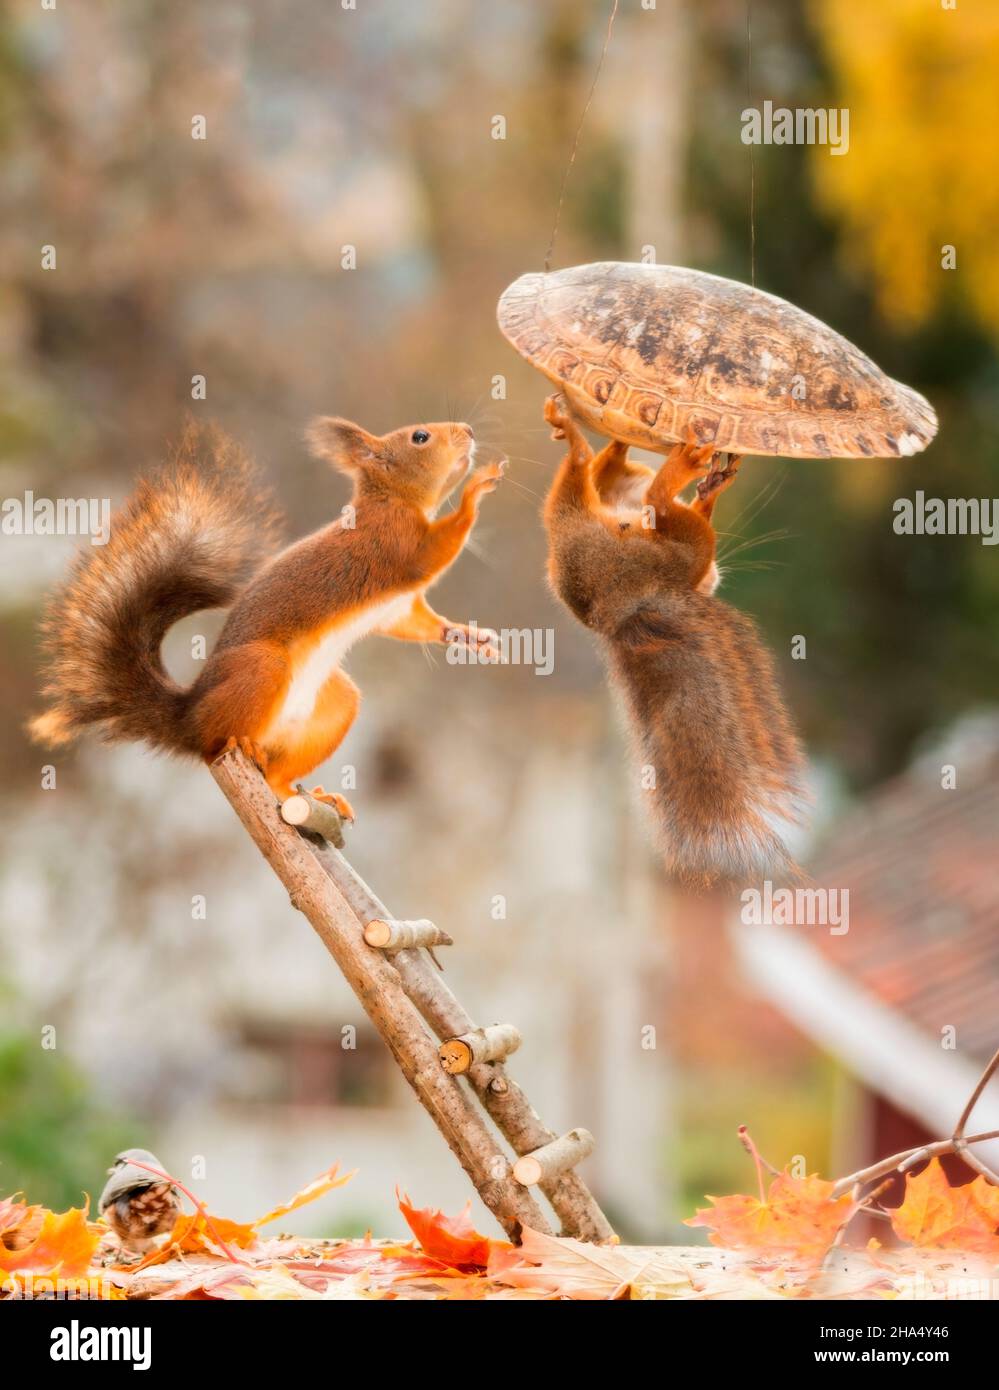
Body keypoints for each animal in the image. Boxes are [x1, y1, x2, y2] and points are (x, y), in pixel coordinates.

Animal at [29, 417, 503, 817]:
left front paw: (468, 637)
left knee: (278, 773)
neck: (393, 500)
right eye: (420, 437)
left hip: (333, 706)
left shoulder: (396, 606)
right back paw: (238, 743)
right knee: (215, 745)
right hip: (262, 668)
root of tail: (188, 717)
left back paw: (304, 791)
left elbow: (415, 622)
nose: (468, 430)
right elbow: (436, 549)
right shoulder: (395, 544)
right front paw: (476, 490)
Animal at [541, 392, 805, 886]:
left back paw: (613, 449)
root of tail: (621, 610)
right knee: (615, 491)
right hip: (653, 544)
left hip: (608, 533)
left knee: (598, 484)